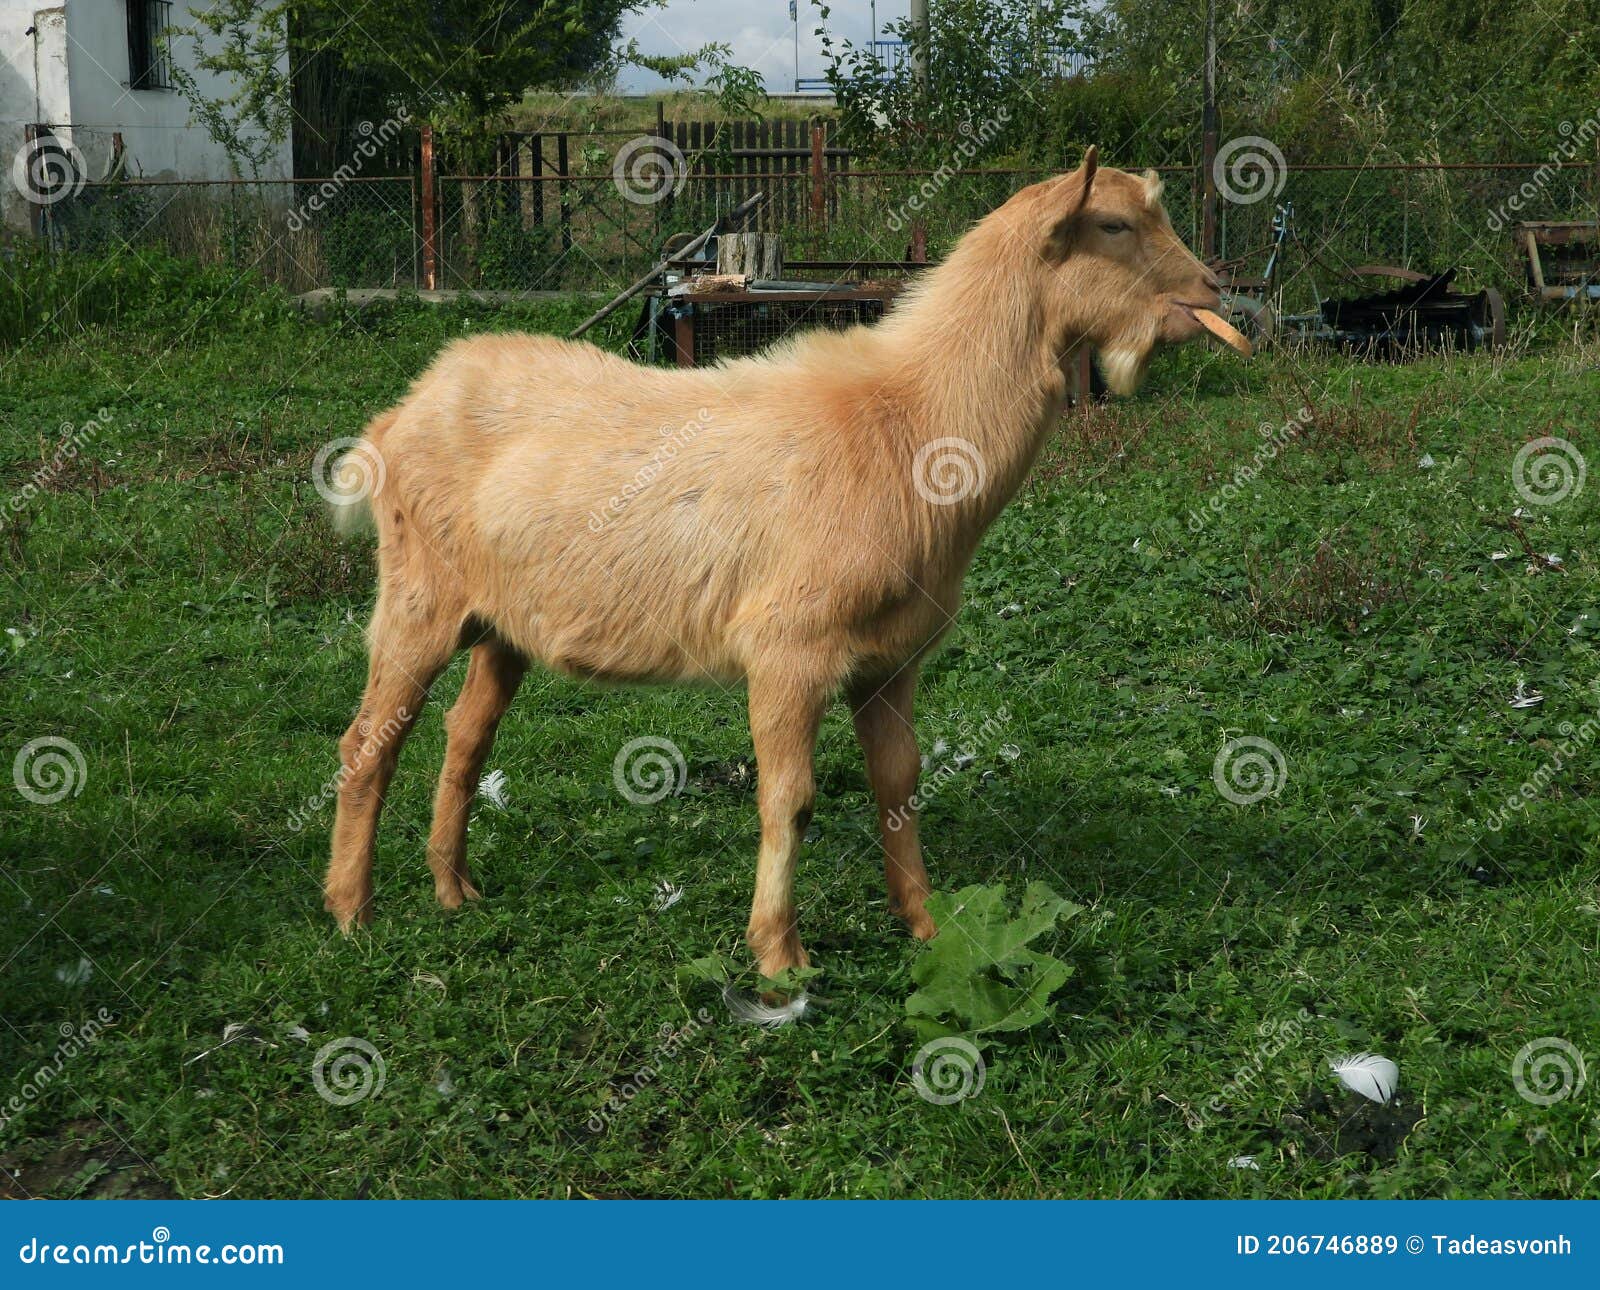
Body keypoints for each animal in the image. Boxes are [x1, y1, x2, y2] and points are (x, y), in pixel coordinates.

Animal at [322, 148, 1227, 979]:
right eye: (1114, 226)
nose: (1214, 290)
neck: (912, 420)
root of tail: (403, 409)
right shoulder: (788, 647)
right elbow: (789, 799)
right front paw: (778, 955)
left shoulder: (892, 660)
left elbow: (898, 785)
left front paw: (925, 923)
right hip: (418, 595)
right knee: (367, 741)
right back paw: (351, 910)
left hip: (501, 622)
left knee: (465, 735)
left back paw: (453, 889)